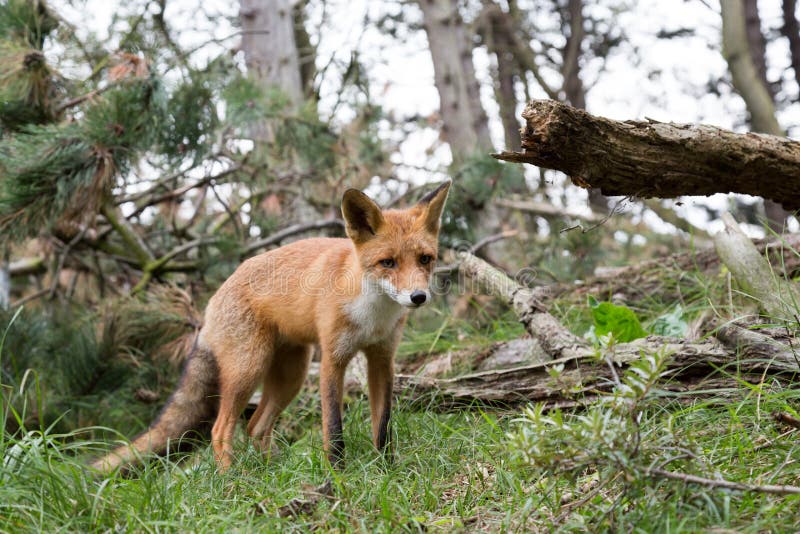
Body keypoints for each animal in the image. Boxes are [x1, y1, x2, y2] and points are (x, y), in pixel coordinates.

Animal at [91, 180, 451, 473]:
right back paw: (234, 481)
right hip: (249, 369)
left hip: (291, 374)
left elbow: (383, 426)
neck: (372, 314)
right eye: (388, 262)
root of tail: (213, 300)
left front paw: (387, 469)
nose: (418, 297)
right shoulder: (333, 360)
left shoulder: (382, 359)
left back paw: (271, 474)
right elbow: (333, 428)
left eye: (425, 259)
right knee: (220, 430)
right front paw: (338, 474)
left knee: (256, 427)